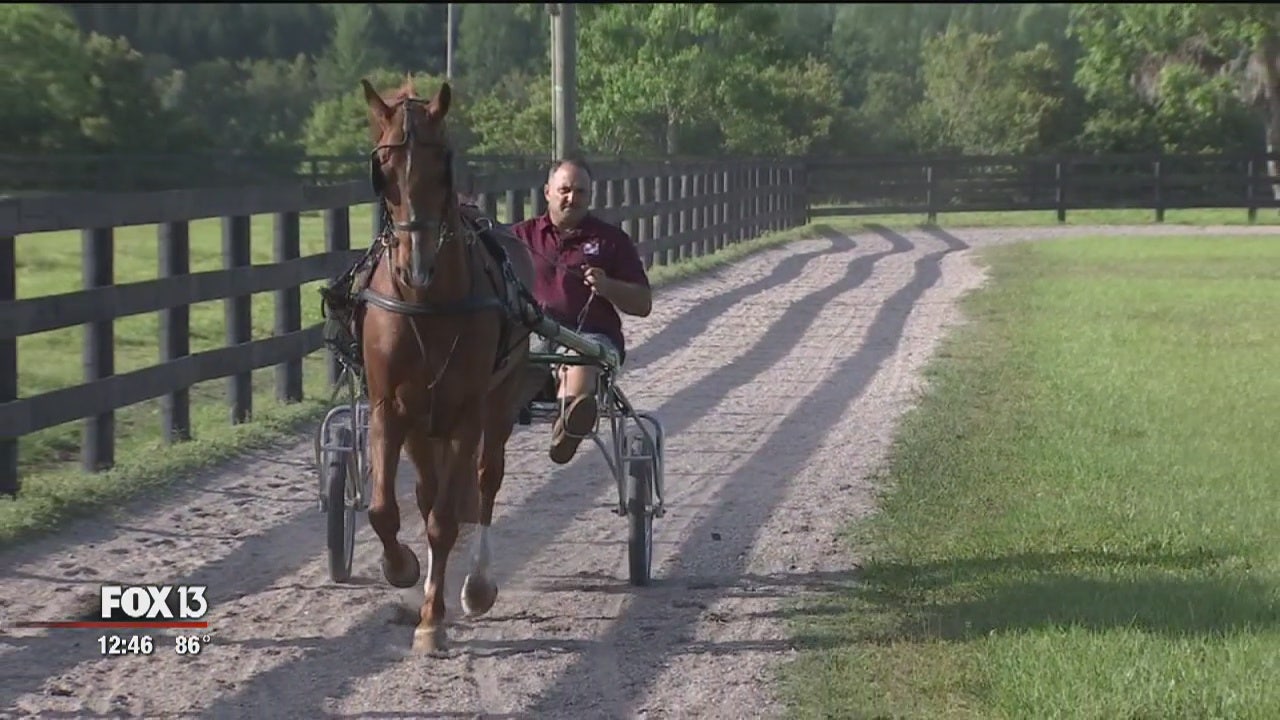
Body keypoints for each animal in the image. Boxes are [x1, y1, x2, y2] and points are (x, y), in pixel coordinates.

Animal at [355, 76, 542, 653]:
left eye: (443, 166)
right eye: (383, 167)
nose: (415, 265)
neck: (428, 303)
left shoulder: (466, 413)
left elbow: (444, 521)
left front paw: (433, 620)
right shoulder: (388, 407)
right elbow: (384, 509)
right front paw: (400, 568)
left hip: (499, 403)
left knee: (483, 483)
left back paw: (477, 585)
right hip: (422, 424)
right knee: (428, 490)